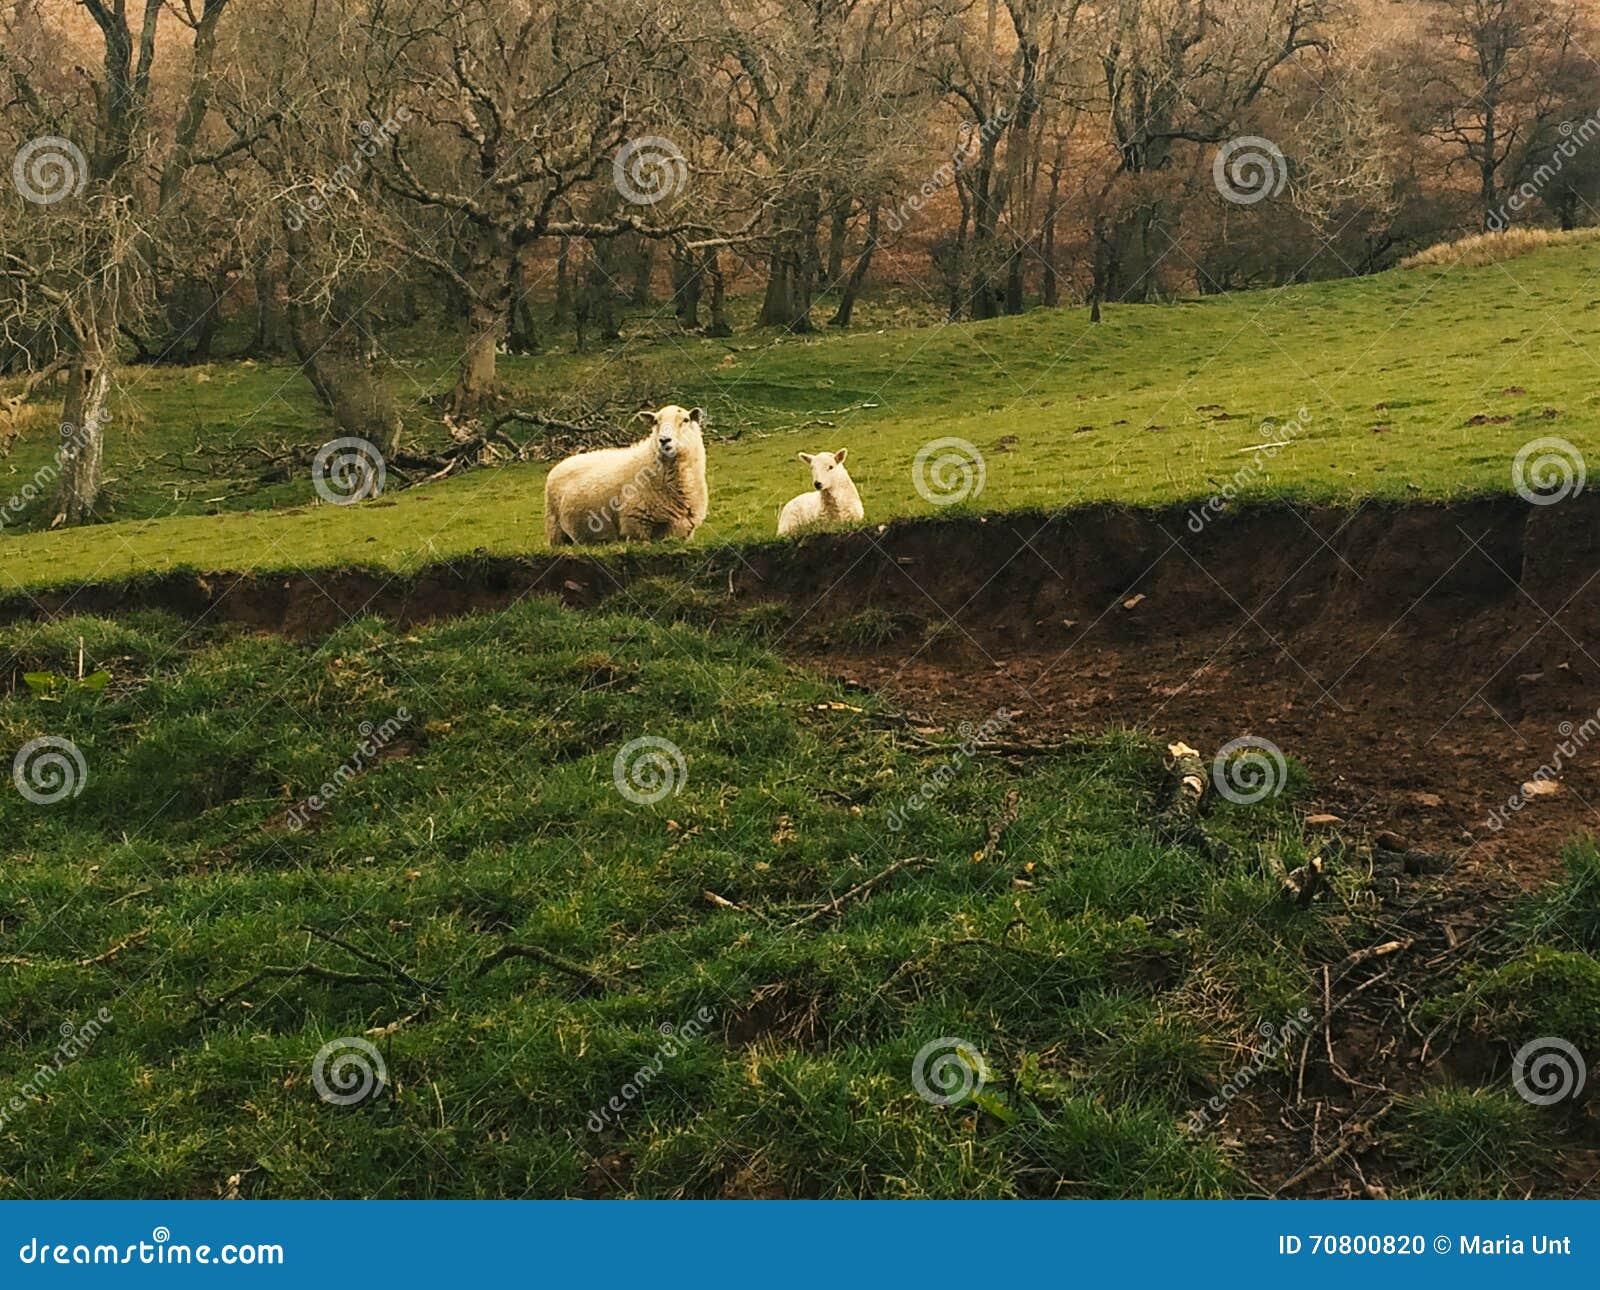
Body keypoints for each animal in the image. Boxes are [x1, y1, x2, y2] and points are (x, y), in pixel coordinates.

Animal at [544, 405, 709, 545]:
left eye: (685, 420)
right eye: (655, 421)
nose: (664, 440)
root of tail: (563, 461)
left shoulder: (685, 532)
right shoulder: (635, 527)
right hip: (555, 528)